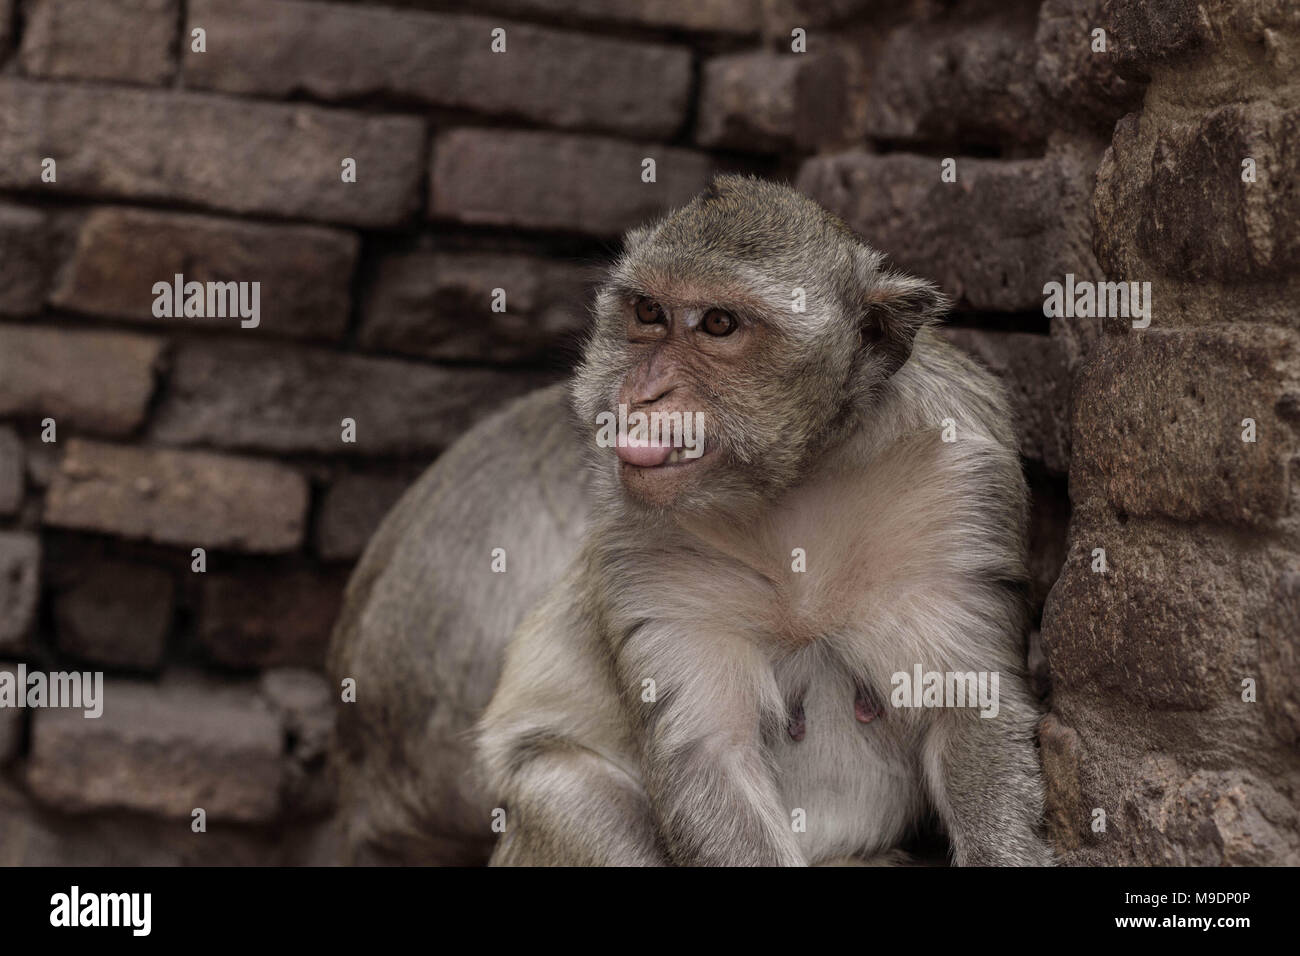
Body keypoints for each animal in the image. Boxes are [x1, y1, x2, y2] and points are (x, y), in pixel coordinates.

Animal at [475, 175, 1053, 866]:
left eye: (718, 323)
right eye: (648, 313)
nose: (644, 394)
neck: (795, 478)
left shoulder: (963, 482)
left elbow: (969, 709)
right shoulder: (637, 543)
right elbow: (712, 758)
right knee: (566, 791)